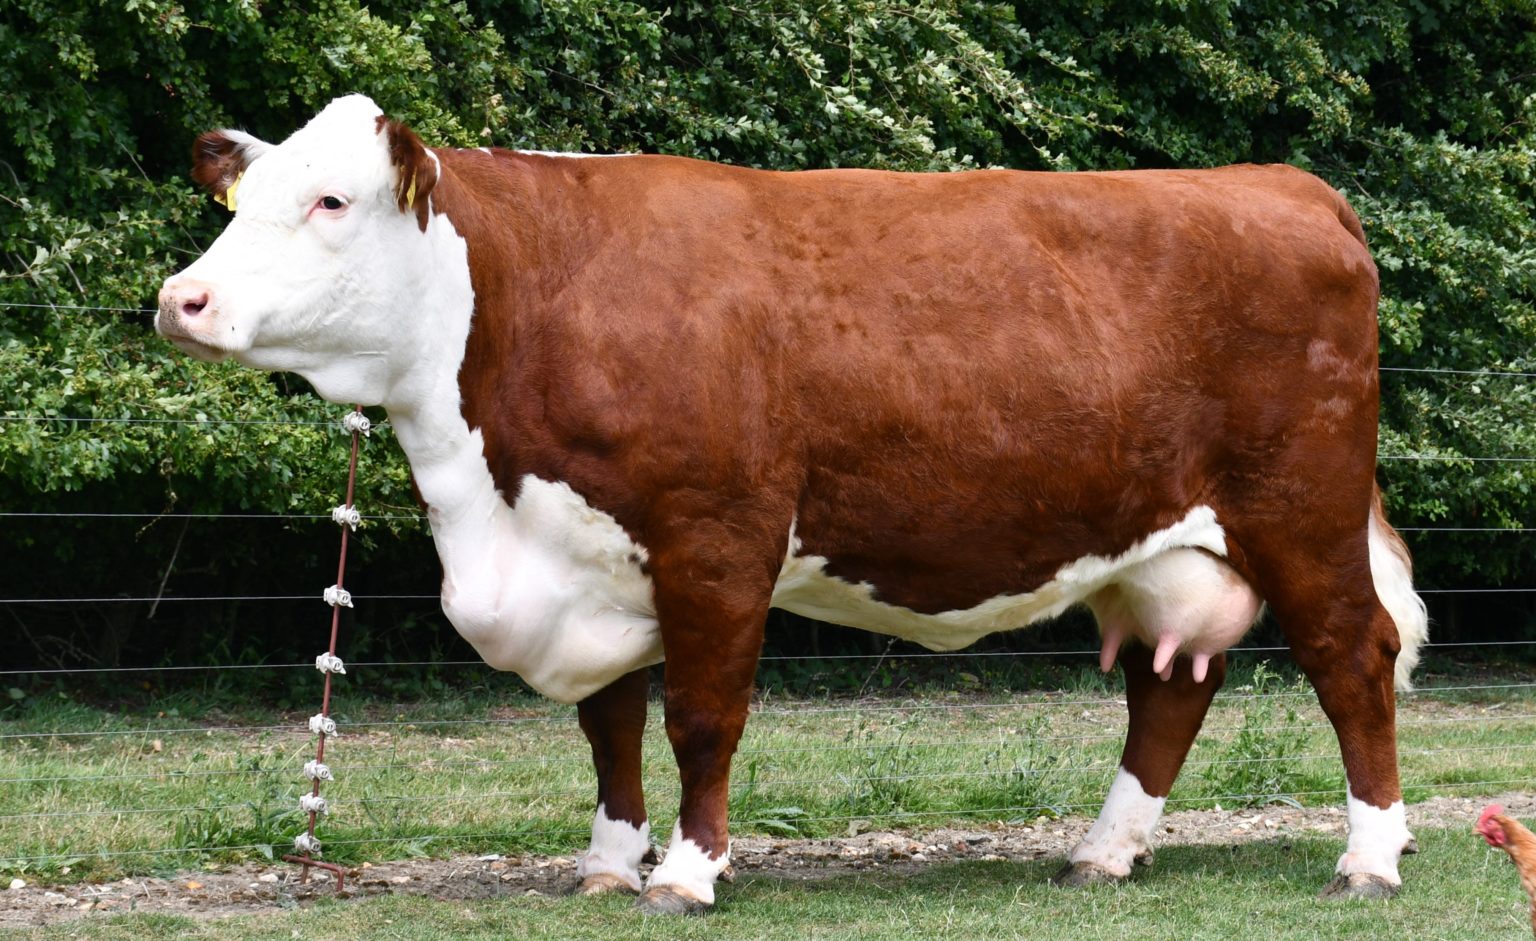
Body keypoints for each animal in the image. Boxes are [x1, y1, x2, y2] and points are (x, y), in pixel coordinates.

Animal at [157, 94, 1428, 914]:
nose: (183, 298)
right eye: (240, 201)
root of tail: (1280, 184)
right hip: (1168, 539)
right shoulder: (589, 551)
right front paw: (606, 863)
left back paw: (1370, 855)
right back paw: (1104, 851)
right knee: (1172, 691)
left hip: (1301, 506)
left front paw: (685, 872)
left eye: (331, 200)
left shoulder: (716, 534)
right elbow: (609, 724)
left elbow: (700, 716)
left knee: (1351, 656)